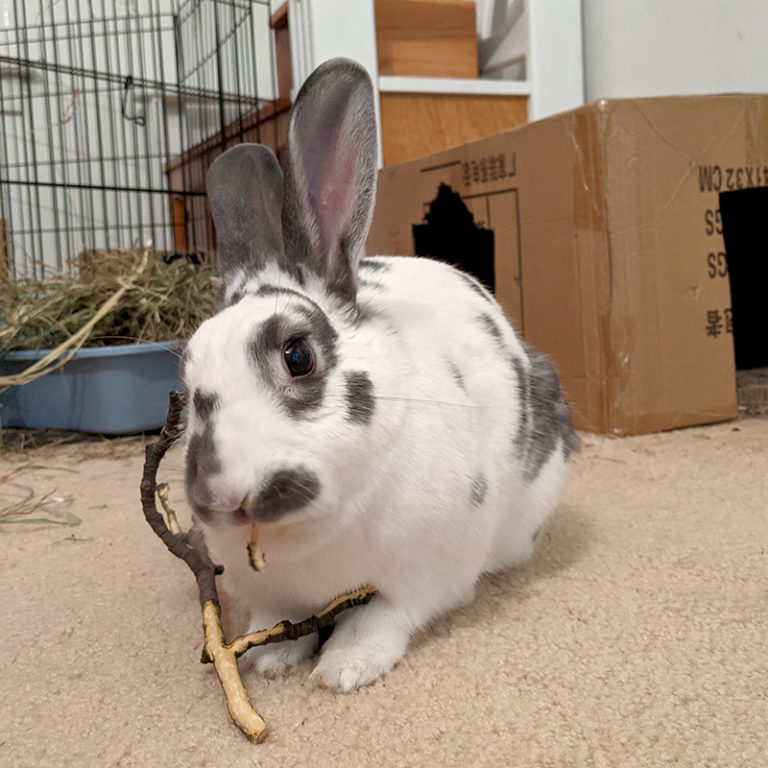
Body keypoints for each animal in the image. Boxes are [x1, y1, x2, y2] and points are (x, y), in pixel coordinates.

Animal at [181, 57, 579, 692]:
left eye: (298, 356)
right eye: (186, 381)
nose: (226, 495)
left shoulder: (422, 576)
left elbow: (382, 618)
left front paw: (345, 669)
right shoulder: (271, 594)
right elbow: (275, 618)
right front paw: (273, 660)